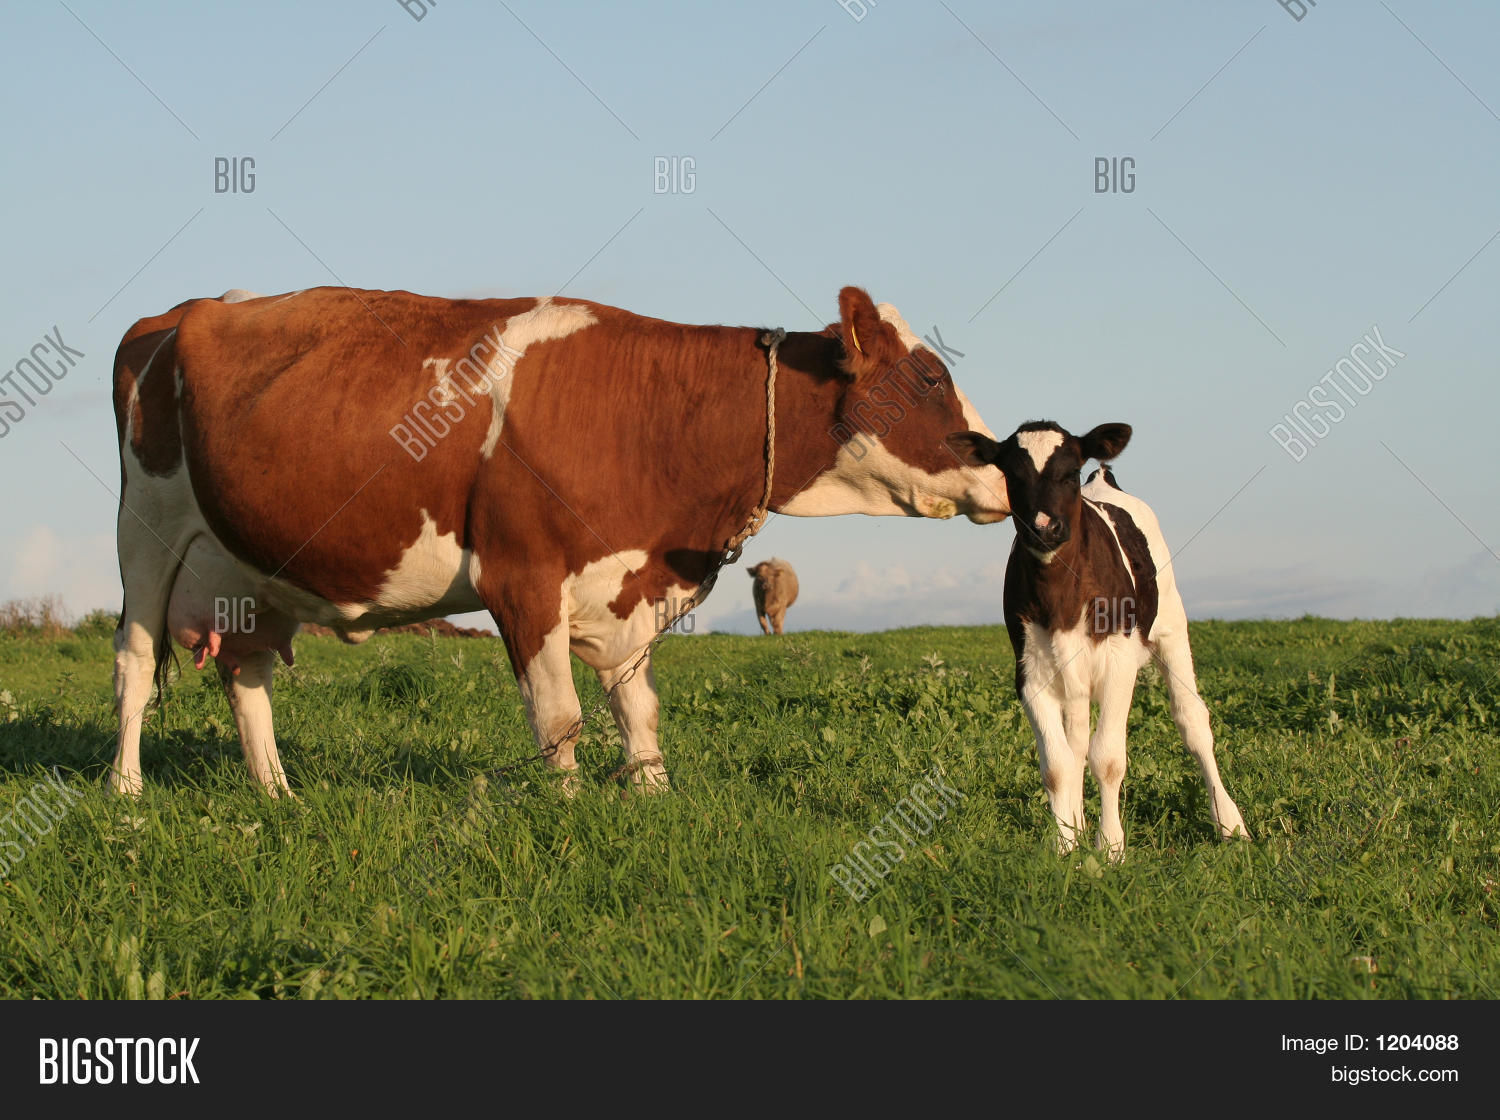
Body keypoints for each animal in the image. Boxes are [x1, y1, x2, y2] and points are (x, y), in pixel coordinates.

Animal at [109, 285, 1009, 797]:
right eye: (931, 376)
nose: (1004, 472)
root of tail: (184, 312)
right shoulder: (522, 576)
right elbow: (561, 718)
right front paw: (571, 815)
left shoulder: (629, 583)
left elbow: (638, 711)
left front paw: (652, 800)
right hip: (146, 535)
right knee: (133, 666)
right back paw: (126, 799)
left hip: (245, 569)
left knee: (246, 676)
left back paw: (278, 796)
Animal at [945, 420, 1249, 858]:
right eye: (1010, 475)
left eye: (1070, 472)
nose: (1044, 528)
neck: (1062, 597)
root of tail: (1104, 480)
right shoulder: (1029, 674)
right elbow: (1057, 765)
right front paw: (1065, 843)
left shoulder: (1119, 665)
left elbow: (1107, 757)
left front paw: (1111, 846)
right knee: (1075, 744)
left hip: (1172, 627)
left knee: (1193, 723)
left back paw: (1229, 822)